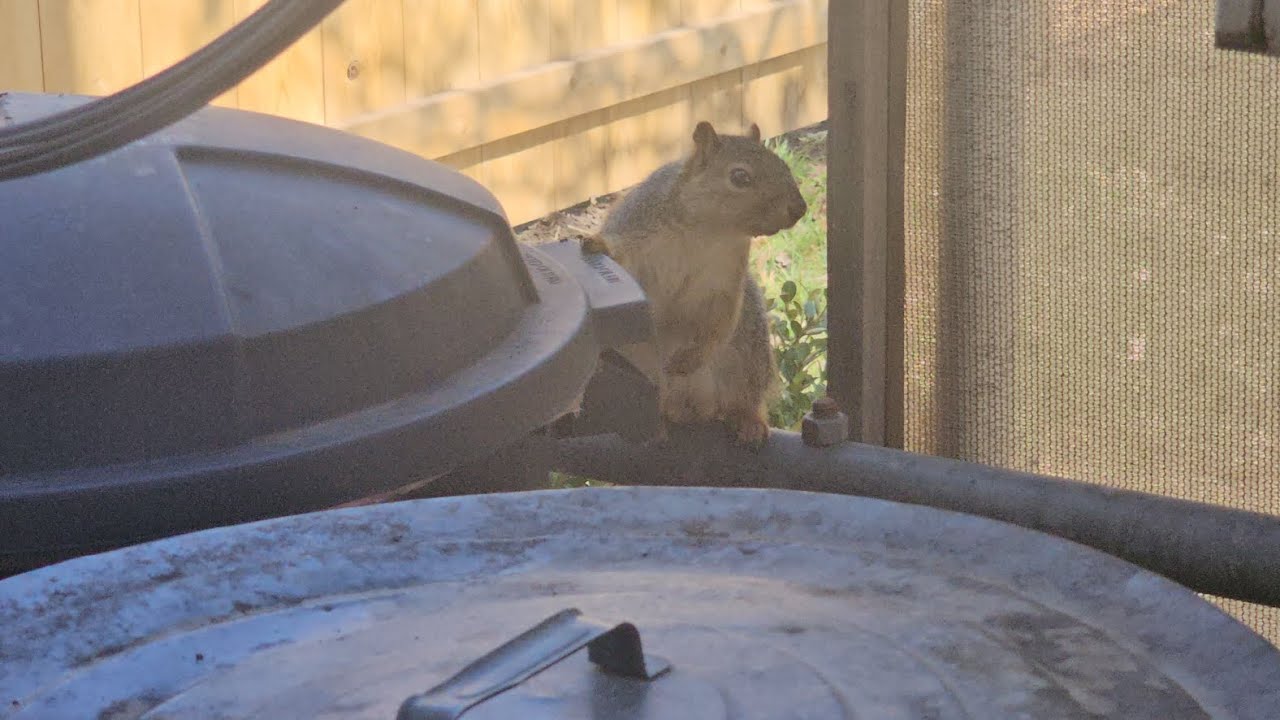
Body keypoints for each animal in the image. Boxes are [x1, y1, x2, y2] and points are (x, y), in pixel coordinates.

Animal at [582, 120, 808, 448]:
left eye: (784, 165)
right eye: (740, 177)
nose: (799, 208)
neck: (707, 229)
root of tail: (691, 405)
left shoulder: (727, 277)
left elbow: (720, 319)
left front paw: (690, 359)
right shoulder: (638, 230)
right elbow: (624, 263)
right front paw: (599, 246)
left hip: (747, 356)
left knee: (743, 398)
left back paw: (749, 421)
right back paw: (660, 424)